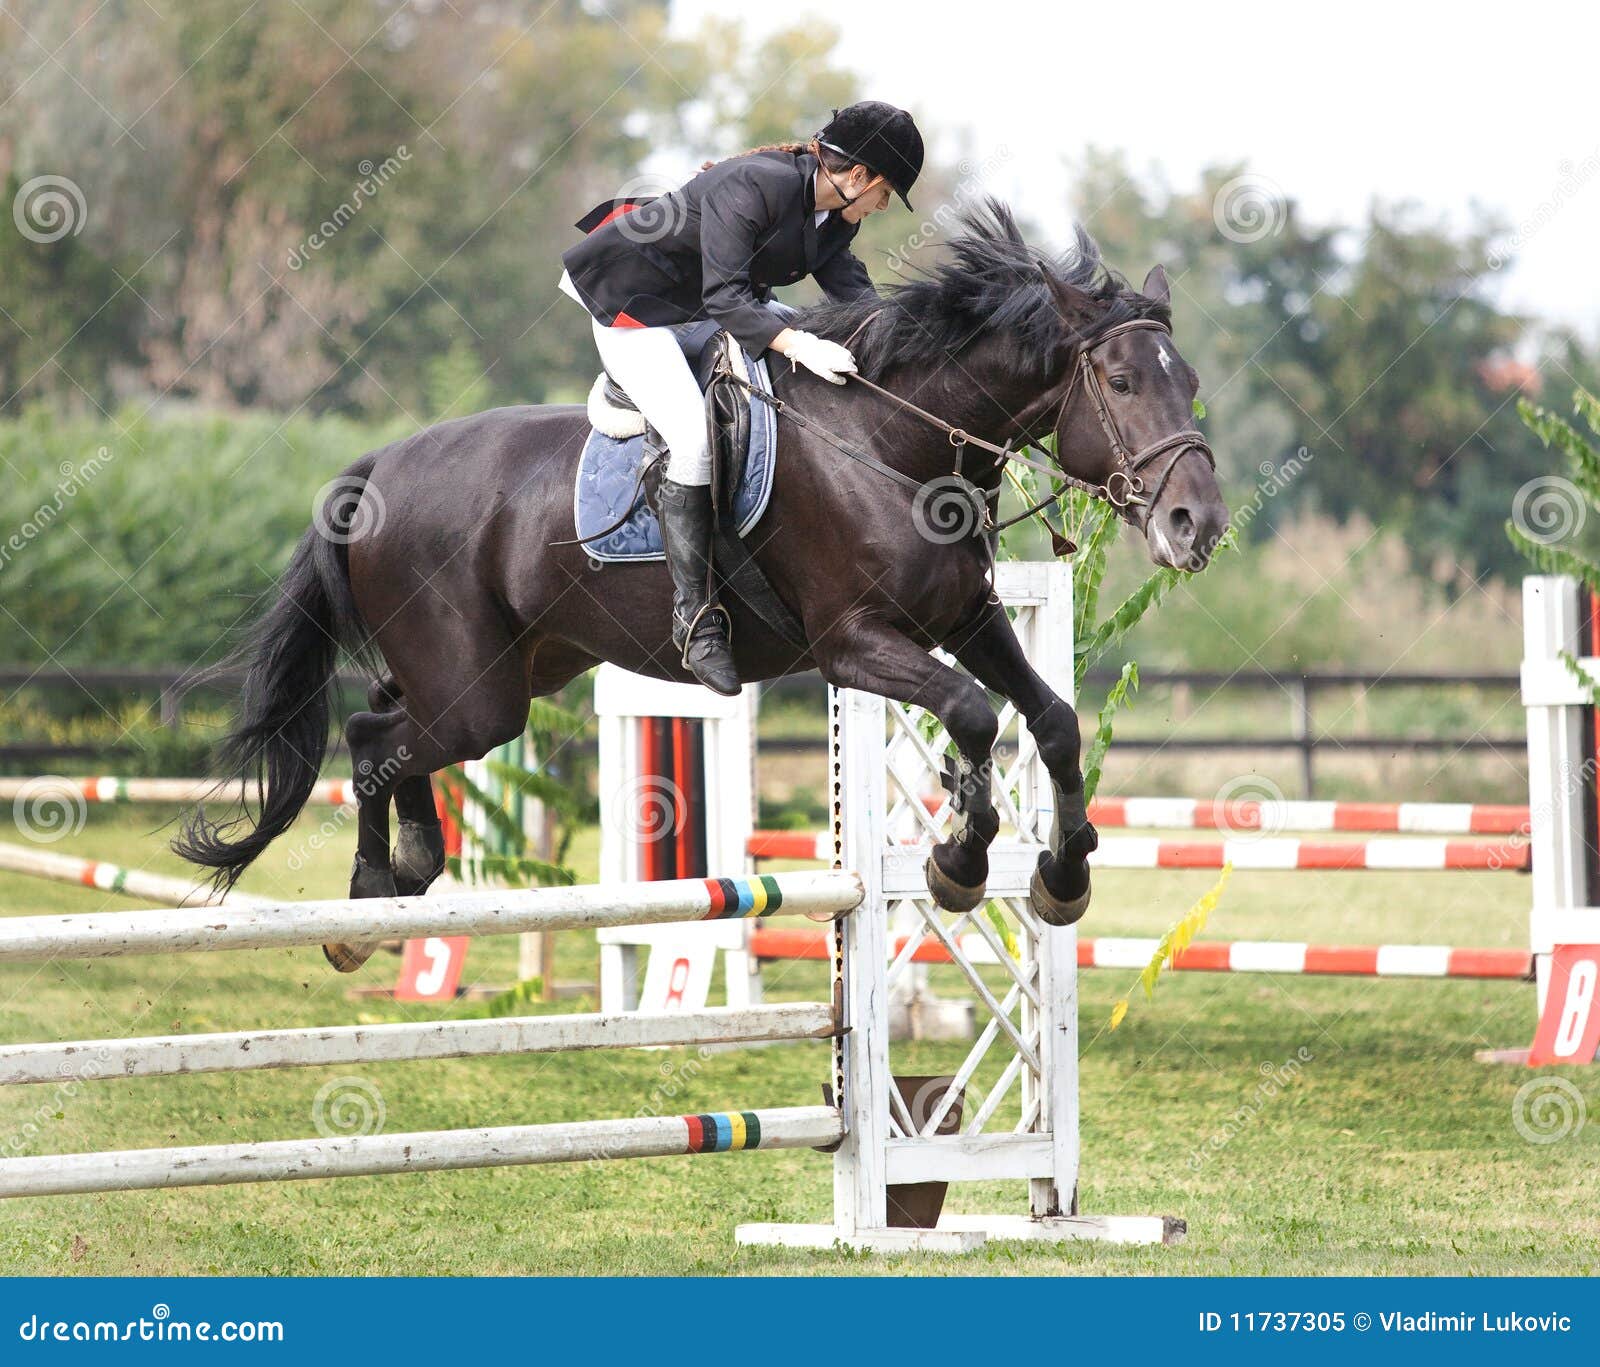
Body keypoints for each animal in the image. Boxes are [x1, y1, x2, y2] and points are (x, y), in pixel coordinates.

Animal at [176, 199, 1230, 971]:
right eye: (1123, 383)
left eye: (1188, 383)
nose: (1200, 524)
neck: (898, 441)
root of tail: (378, 467)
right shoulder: (853, 643)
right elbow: (974, 715)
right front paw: (959, 863)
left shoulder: (967, 616)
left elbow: (1052, 719)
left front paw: (1063, 877)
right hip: (481, 693)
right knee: (370, 736)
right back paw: (364, 907)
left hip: (520, 666)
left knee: (393, 724)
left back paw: (414, 867)